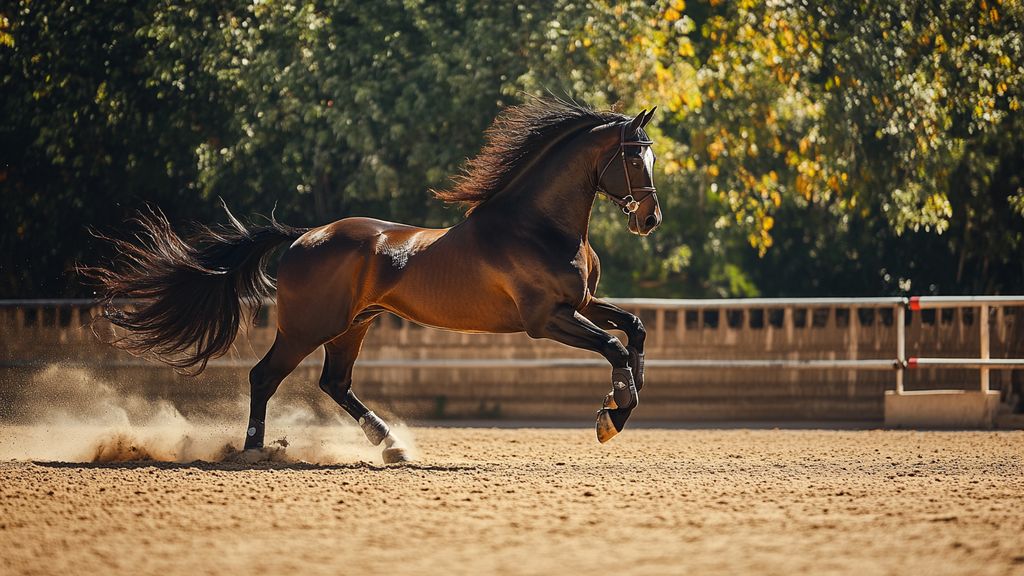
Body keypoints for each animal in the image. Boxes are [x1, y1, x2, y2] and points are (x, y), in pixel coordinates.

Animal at [82, 98, 661, 463]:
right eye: (635, 158)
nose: (648, 219)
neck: (536, 225)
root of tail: (302, 237)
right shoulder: (545, 318)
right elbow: (613, 344)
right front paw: (612, 416)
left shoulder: (582, 300)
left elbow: (633, 329)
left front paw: (620, 405)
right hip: (307, 328)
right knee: (265, 377)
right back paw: (252, 452)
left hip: (353, 325)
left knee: (334, 383)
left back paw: (389, 443)